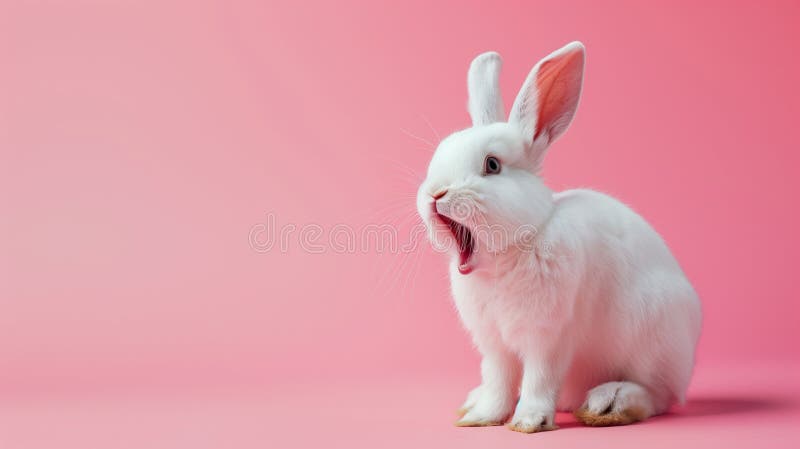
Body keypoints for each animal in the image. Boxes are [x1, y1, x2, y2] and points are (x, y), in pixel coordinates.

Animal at [415, 42, 702, 433]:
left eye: (492, 165)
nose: (435, 193)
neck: (509, 255)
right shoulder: (494, 344)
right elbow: (498, 380)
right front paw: (482, 417)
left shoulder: (548, 337)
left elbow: (539, 378)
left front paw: (528, 422)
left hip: (653, 339)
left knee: (658, 395)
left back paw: (609, 403)